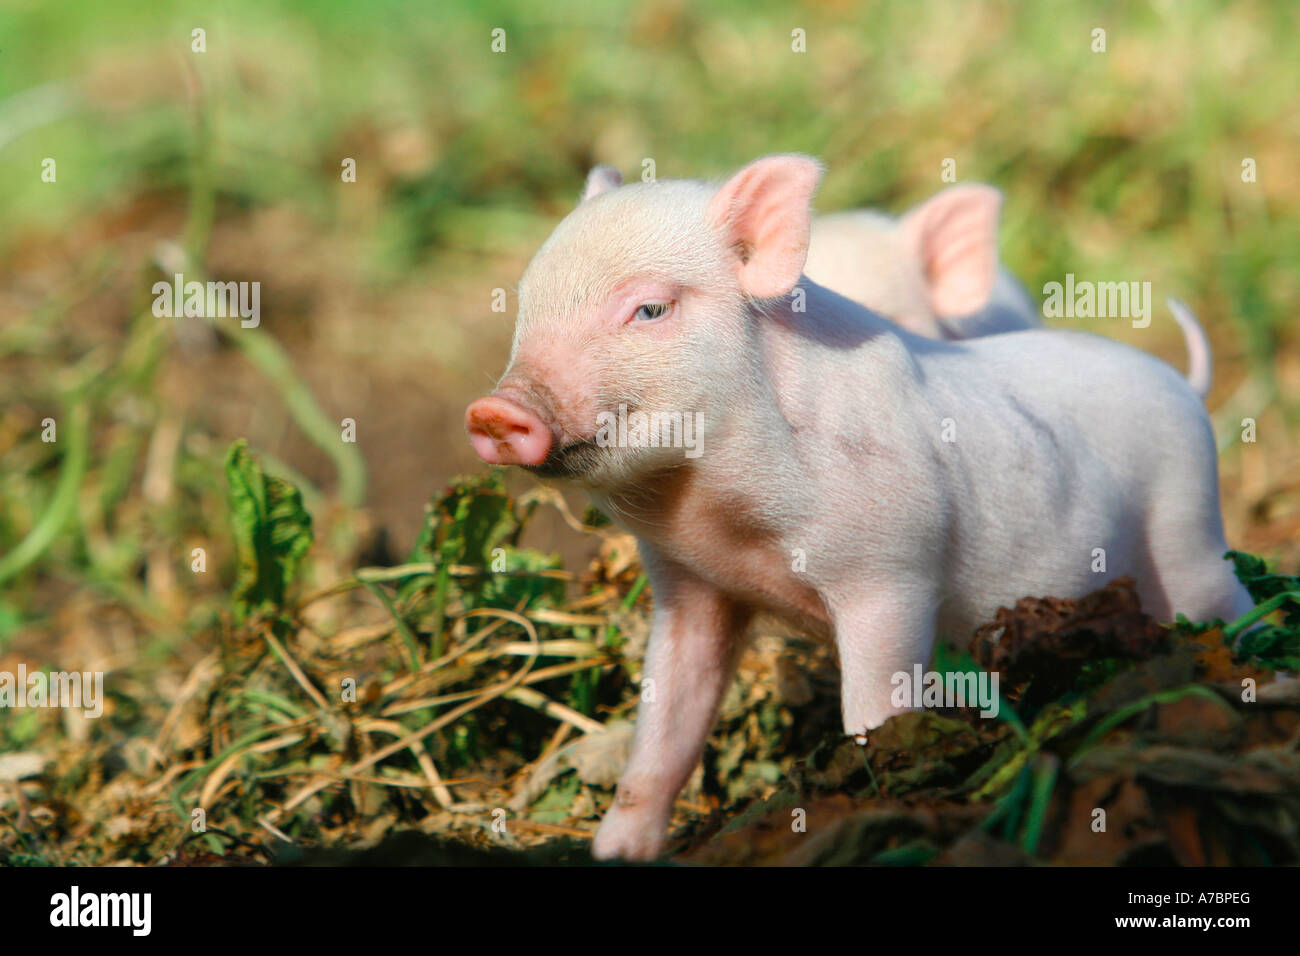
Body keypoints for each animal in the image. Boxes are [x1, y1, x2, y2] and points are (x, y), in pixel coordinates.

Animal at [464, 155, 1254, 861]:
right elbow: (663, 728)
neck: (726, 522)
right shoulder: (691, 588)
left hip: (1186, 524)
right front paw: (616, 850)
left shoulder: (891, 572)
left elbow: (873, 703)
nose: (495, 411)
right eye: (527, 301)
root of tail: (1184, 386)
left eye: (650, 308)